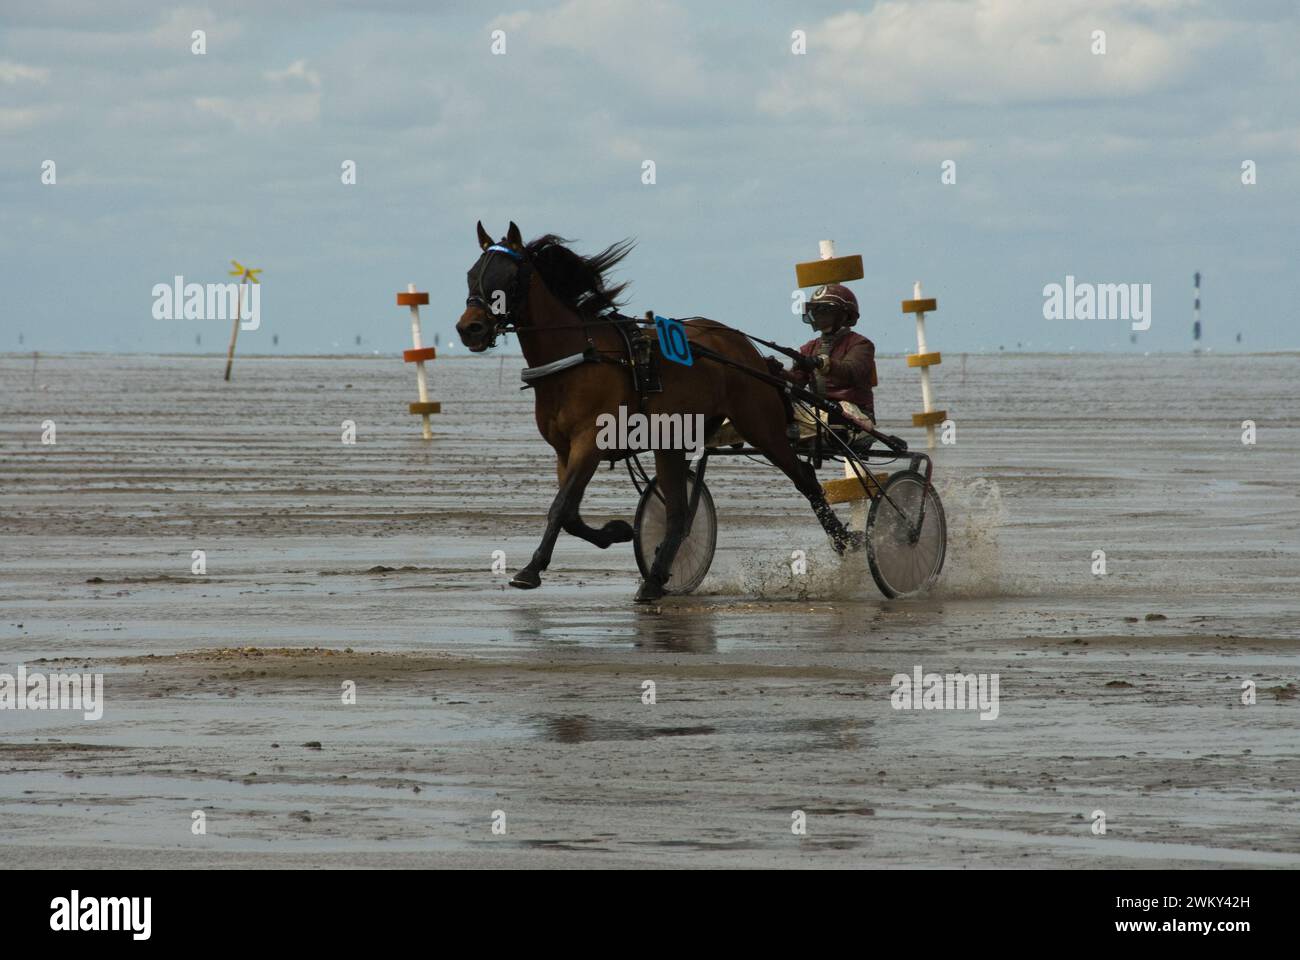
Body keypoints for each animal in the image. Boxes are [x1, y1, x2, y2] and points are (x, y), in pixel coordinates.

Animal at [455, 221, 857, 602]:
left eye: (509, 277)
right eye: (472, 274)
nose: (469, 328)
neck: (578, 358)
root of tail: (743, 347)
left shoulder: (590, 441)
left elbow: (560, 506)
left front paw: (530, 570)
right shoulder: (564, 449)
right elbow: (569, 513)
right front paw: (615, 531)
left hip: (761, 425)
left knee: (805, 479)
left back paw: (846, 544)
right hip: (672, 441)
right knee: (679, 512)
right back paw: (656, 578)